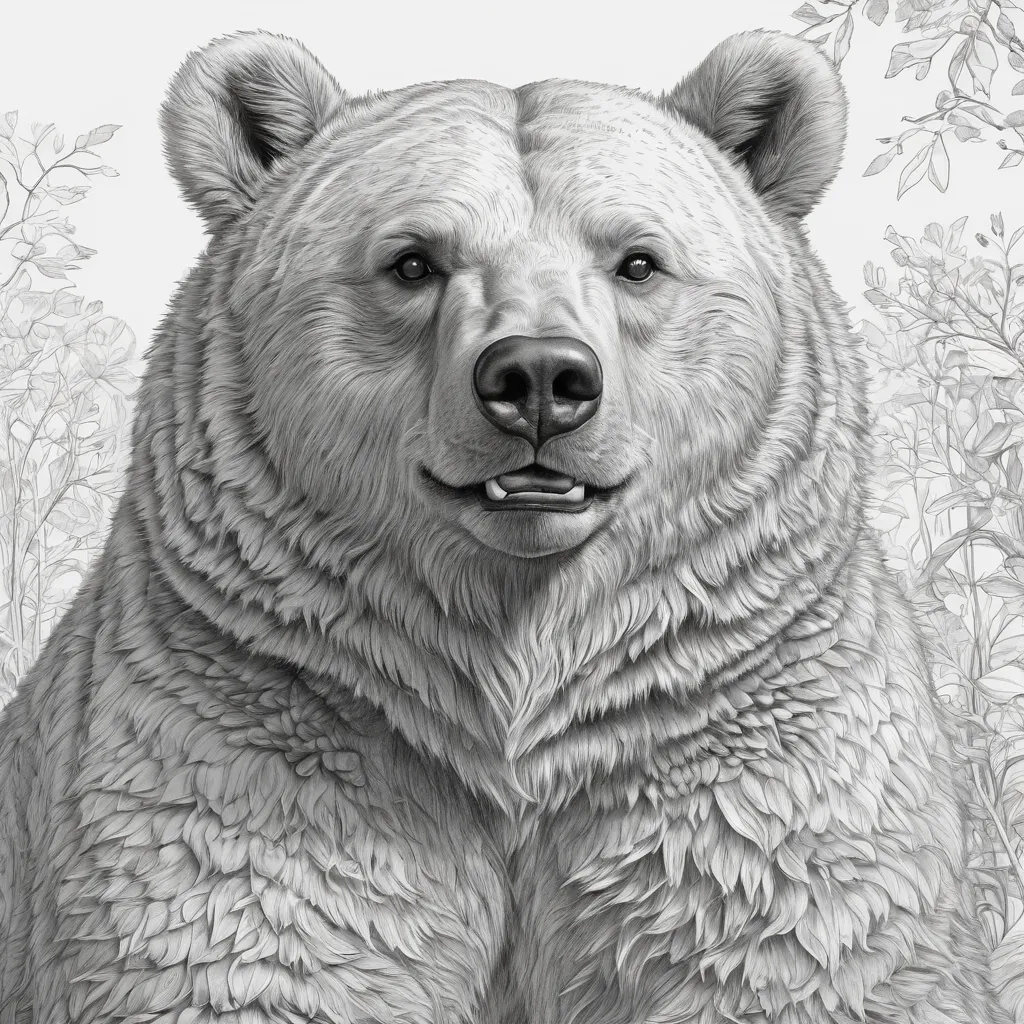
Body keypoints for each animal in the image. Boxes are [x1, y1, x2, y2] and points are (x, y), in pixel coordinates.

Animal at [0, 26, 1012, 1024]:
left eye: (637, 260)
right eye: (413, 260)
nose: (539, 379)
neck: (513, 689)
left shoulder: (743, 745)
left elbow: (795, 944)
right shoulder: (258, 731)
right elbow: (248, 947)